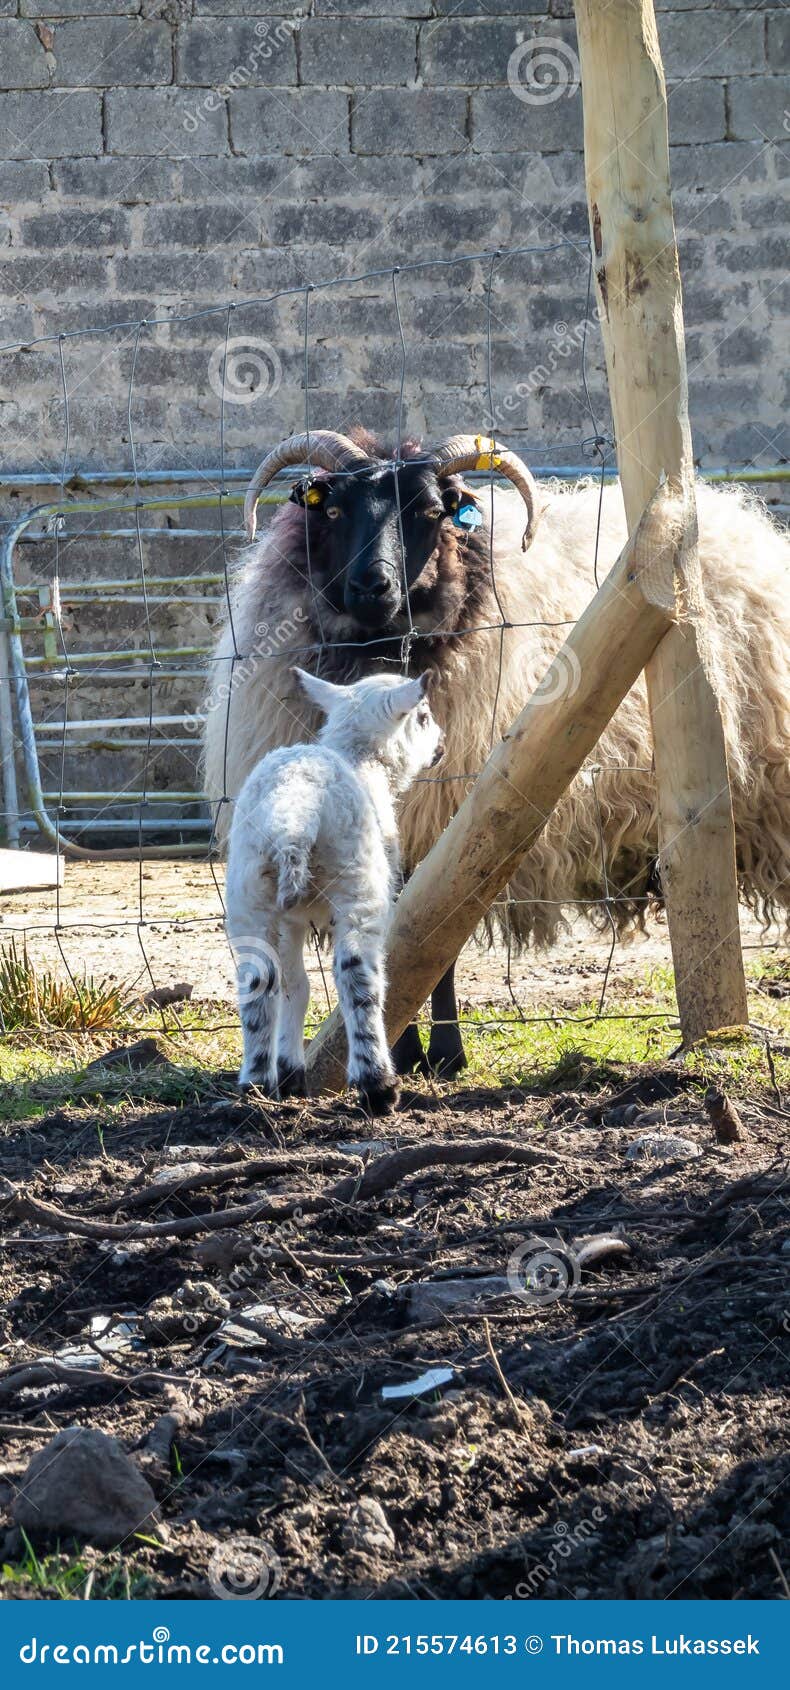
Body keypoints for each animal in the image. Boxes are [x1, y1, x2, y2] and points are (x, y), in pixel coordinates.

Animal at [225, 666, 443, 1113]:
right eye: (424, 716)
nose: (442, 747)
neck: (361, 759)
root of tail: (294, 809)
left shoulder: (289, 919)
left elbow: (295, 987)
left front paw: (290, 1073)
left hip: (249, 890)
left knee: (259, 978)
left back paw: (256, 1086)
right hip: (357, 882)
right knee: (357, 975)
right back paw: (378, 1085)